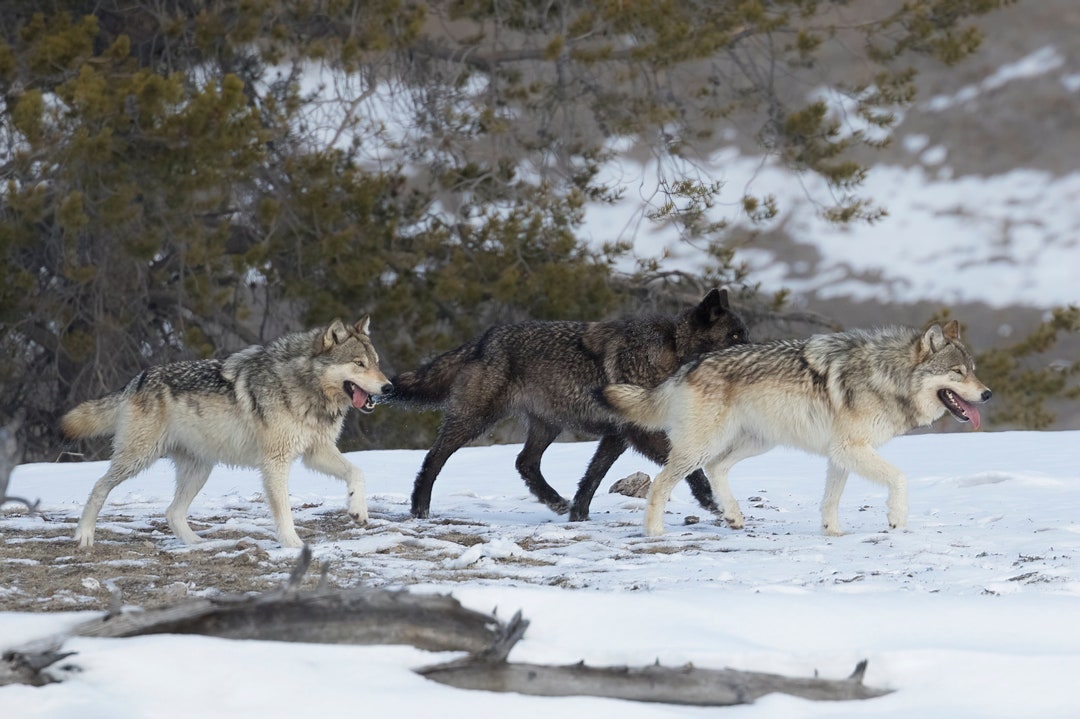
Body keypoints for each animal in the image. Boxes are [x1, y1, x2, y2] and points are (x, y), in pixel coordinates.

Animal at [62, 318, 393, 549]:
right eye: (359, 364)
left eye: (376, 363)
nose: (389, 387)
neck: (304, 387)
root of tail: (138, 378)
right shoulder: (275, 461)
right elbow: (283, 509)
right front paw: (292, 544)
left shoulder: (316, 452)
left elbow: (357, 472)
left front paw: (357, 510)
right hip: (138, 458)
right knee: (99, 487)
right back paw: (84, 535)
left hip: (199, 470)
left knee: (172, 512)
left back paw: (196, 545)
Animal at [386, 289, 750, 520]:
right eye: (734, 337)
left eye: (744, 334)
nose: (754, 354)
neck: (672, 350)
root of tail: (483, 340)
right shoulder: (640, 432)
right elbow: (690, 468)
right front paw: (713, 501)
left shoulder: (617, 436)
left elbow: (592, 476)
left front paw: (578, 515)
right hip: (475, 421)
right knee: (434, 458)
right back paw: (419, 509)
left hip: (548, 425)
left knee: (524, 463)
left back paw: (556, 503)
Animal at [603, 321, 991, 537]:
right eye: (958, 372)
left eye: (972, 370)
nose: (988, 394)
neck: (887, 375)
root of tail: (688, 367)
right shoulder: (850, 448)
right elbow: (899, 478)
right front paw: (896, 520)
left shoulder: (840, 454)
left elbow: (831, 500)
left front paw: (833, 532)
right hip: (703, 446)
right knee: (661, 484)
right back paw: (654, 532)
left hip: (754, 443)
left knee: (716, 468)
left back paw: (734, 516)